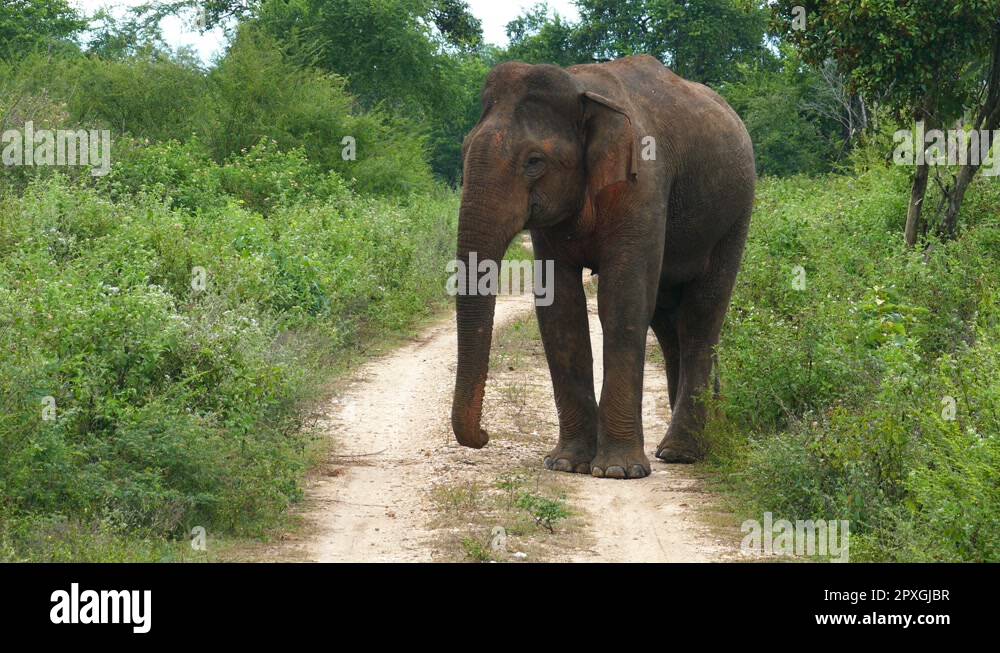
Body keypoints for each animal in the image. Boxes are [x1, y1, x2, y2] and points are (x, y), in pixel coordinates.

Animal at [450, 55, 755, 479]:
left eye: (534, 162)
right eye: (463, 150)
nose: (483, 435)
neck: (582, 91)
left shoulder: (642, 185)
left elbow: (621, 299)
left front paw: (618, 471)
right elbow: (559, 307)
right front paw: (566, 463)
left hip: (735, 215)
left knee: (701, 316)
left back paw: (681, 452)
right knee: (668, 320)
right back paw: (692, 441)